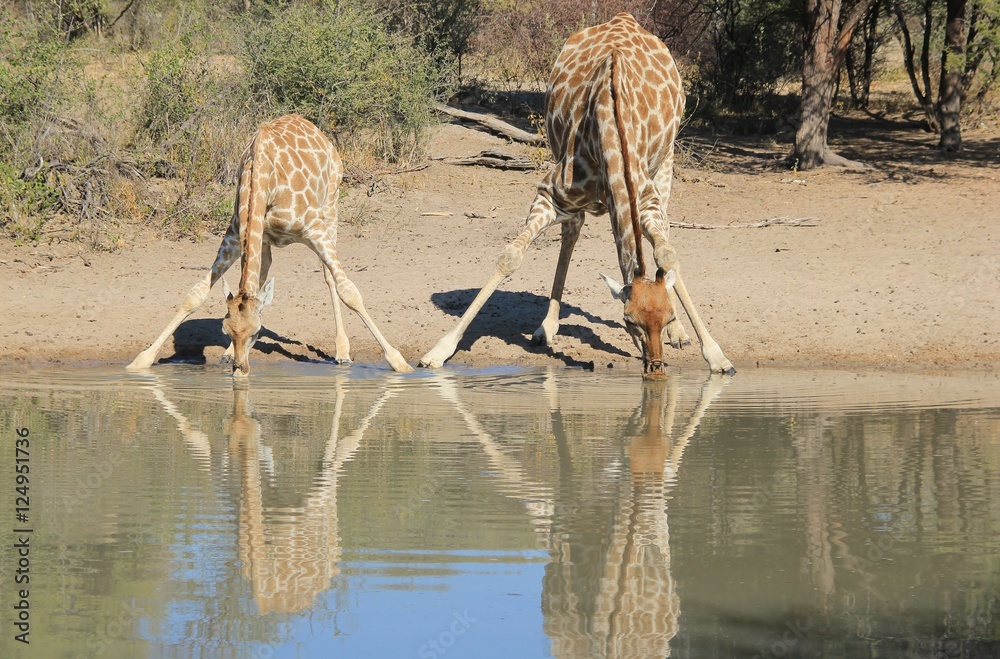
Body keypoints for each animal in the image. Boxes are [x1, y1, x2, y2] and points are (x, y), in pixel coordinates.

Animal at [127, 114, 413, 376]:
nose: (240, 370)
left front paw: (399, 362)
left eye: (256, 333)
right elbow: (195, 295)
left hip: (331, 206)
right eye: (225, 330)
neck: (263, 180)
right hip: (264, 241)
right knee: (260, 279)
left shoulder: (314, 229)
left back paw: (342, 352)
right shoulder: (234, 237)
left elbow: (349, 291)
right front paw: (141, 360)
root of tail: (315, 128)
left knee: (329, 277)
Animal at [420, 14, 734, 378]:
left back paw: (681, 335)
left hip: (666, 159)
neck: (608, 132)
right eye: (629, 320)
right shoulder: (550, 194)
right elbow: (510, 257)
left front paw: (714, 354)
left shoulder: (646, 200)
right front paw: (438, 351)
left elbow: (666, 255)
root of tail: (625, 17)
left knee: (658, 235)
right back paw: (546, 327)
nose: (655, 369)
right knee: (573, 231)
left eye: (666, 316)